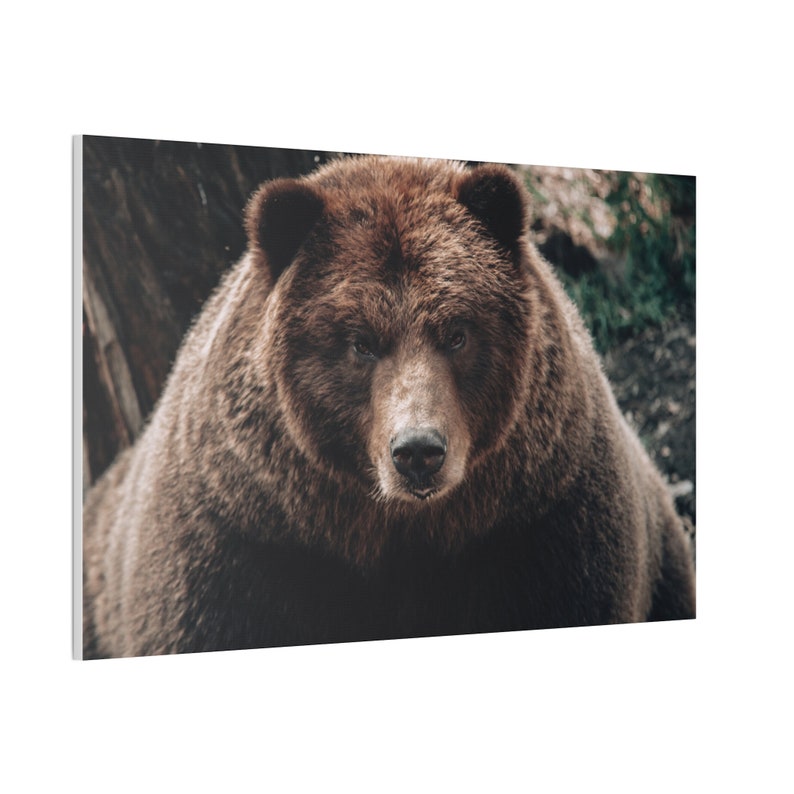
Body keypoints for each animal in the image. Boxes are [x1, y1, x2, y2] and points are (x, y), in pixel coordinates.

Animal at [82, 154, 696, 659]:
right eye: (361, 341)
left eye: (456, 332)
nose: (418, 451)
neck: (390, 530)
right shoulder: (247, 533)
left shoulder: (540, 520)